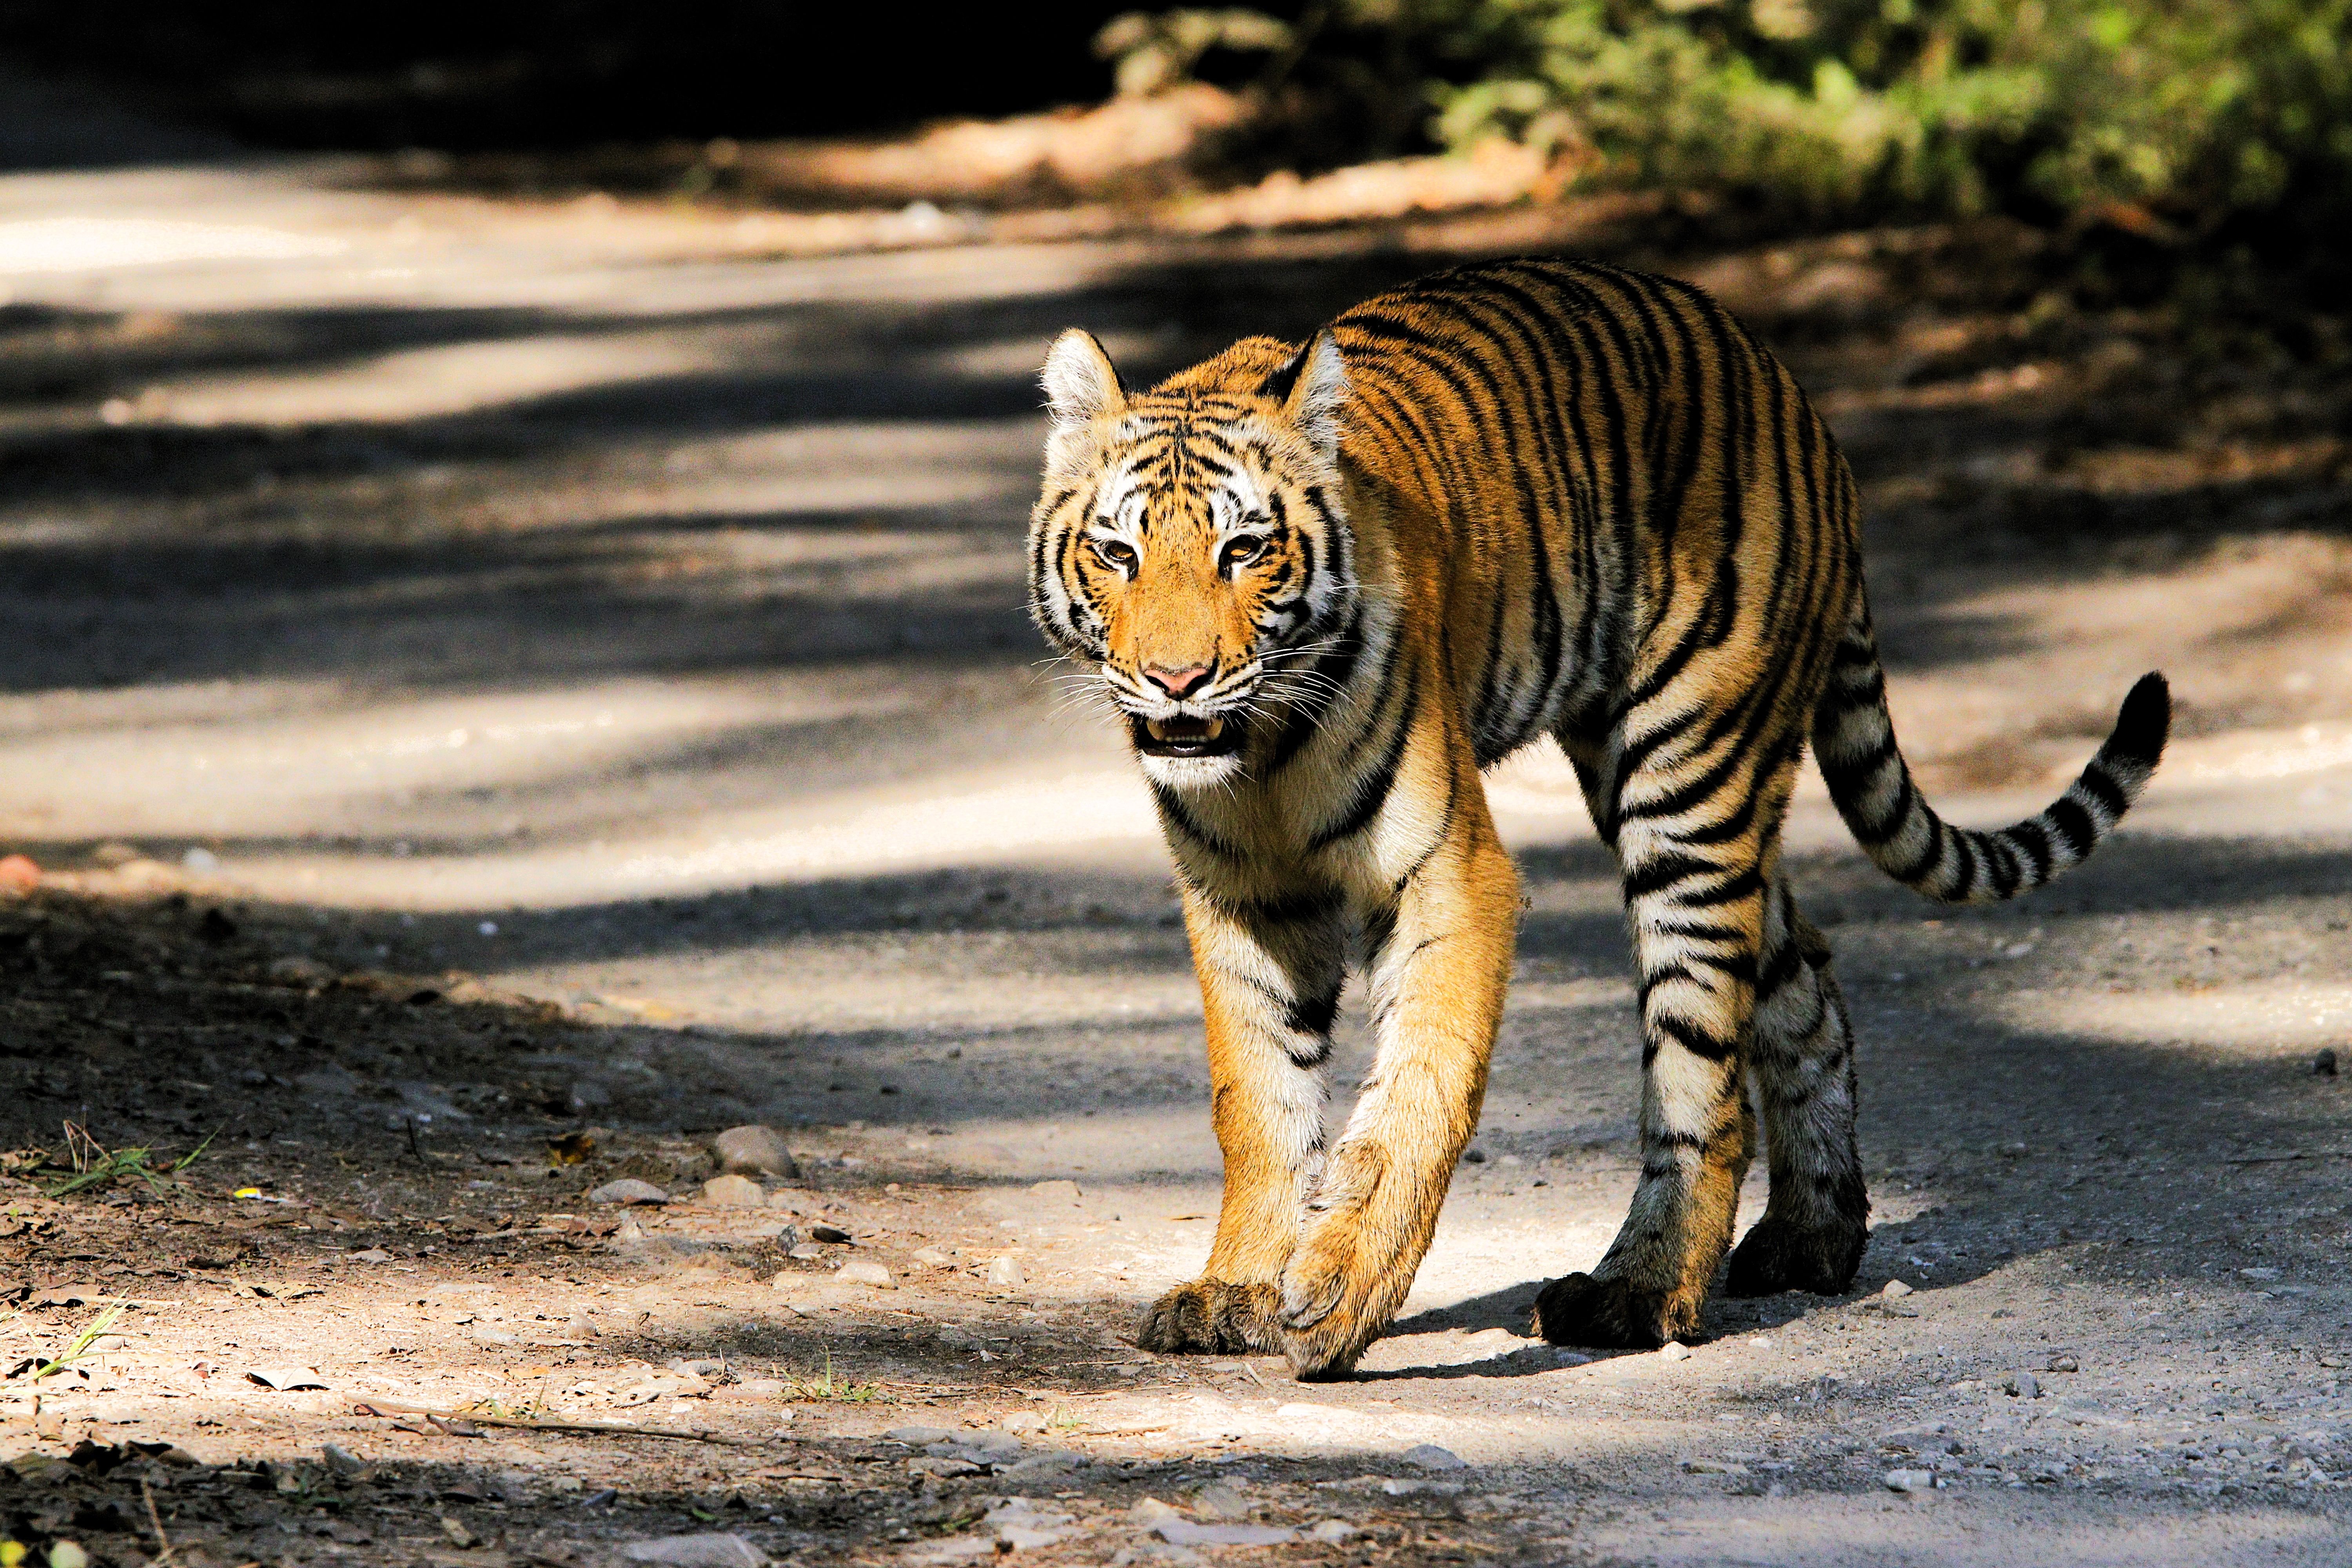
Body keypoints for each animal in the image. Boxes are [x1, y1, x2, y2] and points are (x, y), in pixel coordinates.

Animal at [1026, 256, 2168, 1381]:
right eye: (1119, 554)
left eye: (1246, 551)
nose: (1177, 681)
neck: (1259, 752)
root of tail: (1785, 386)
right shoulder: (1242, 895)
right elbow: (1258, 1098)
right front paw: (1239, 1289)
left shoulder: (1448, 873)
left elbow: (1420, 1087)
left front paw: (1345, 1290)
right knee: (1799, 975)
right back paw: (1813, 1236)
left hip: (1691, 780)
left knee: (1702, 1076)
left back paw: (1641, 1289)